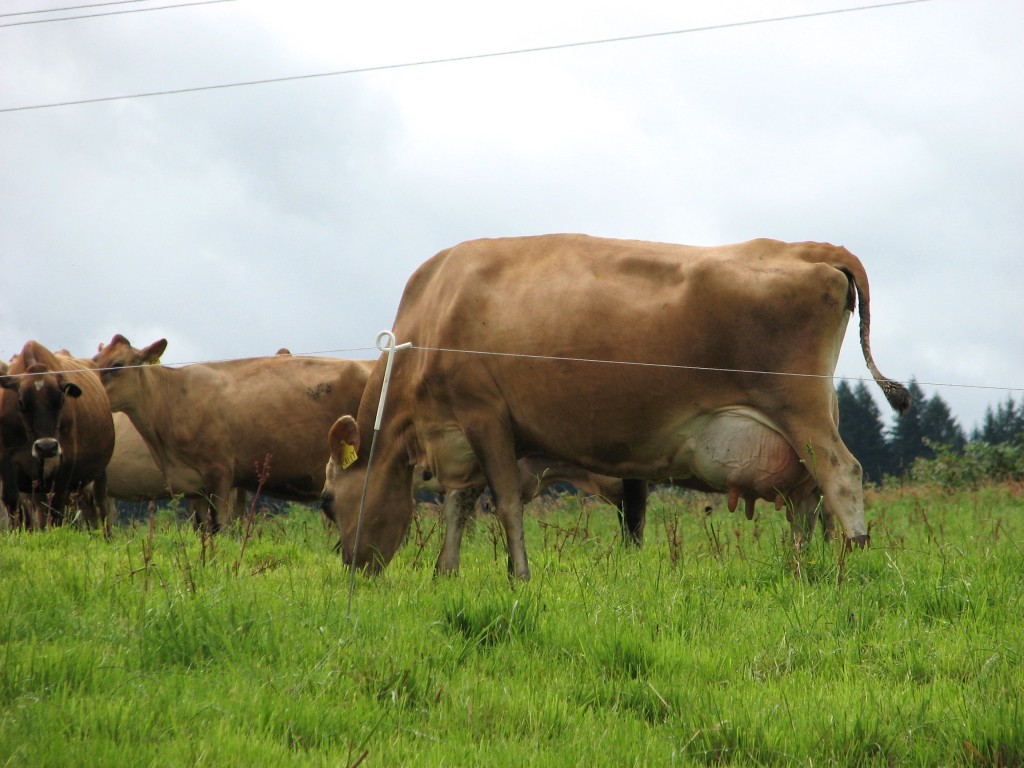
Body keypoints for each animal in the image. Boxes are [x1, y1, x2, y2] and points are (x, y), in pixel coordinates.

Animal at [0, 341, 115, 531]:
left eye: (61, 401)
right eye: (21, 402)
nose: (46, 447)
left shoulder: (65, 461)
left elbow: (56, 508)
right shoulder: (7, 461)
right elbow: (13, 505)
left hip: (98, 474)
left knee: (101, 506)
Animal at [93, 335, 373, 532]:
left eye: (116, 365)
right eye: (93, 362)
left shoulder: (220, 473)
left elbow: (219, 527)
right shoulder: (192, 485)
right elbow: (201, 529)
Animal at [321, 235, 911, 579]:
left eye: (326, 502)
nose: (350, 567)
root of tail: (815, 248)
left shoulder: (485, 413)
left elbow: (504, 503)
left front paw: (519, 577)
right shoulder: (459, 433)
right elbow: (459, 505)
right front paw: (446, 574)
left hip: (799, 406)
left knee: (842, 475)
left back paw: (852, 562)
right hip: (807, 418)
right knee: (806, 497)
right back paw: (798, 568)